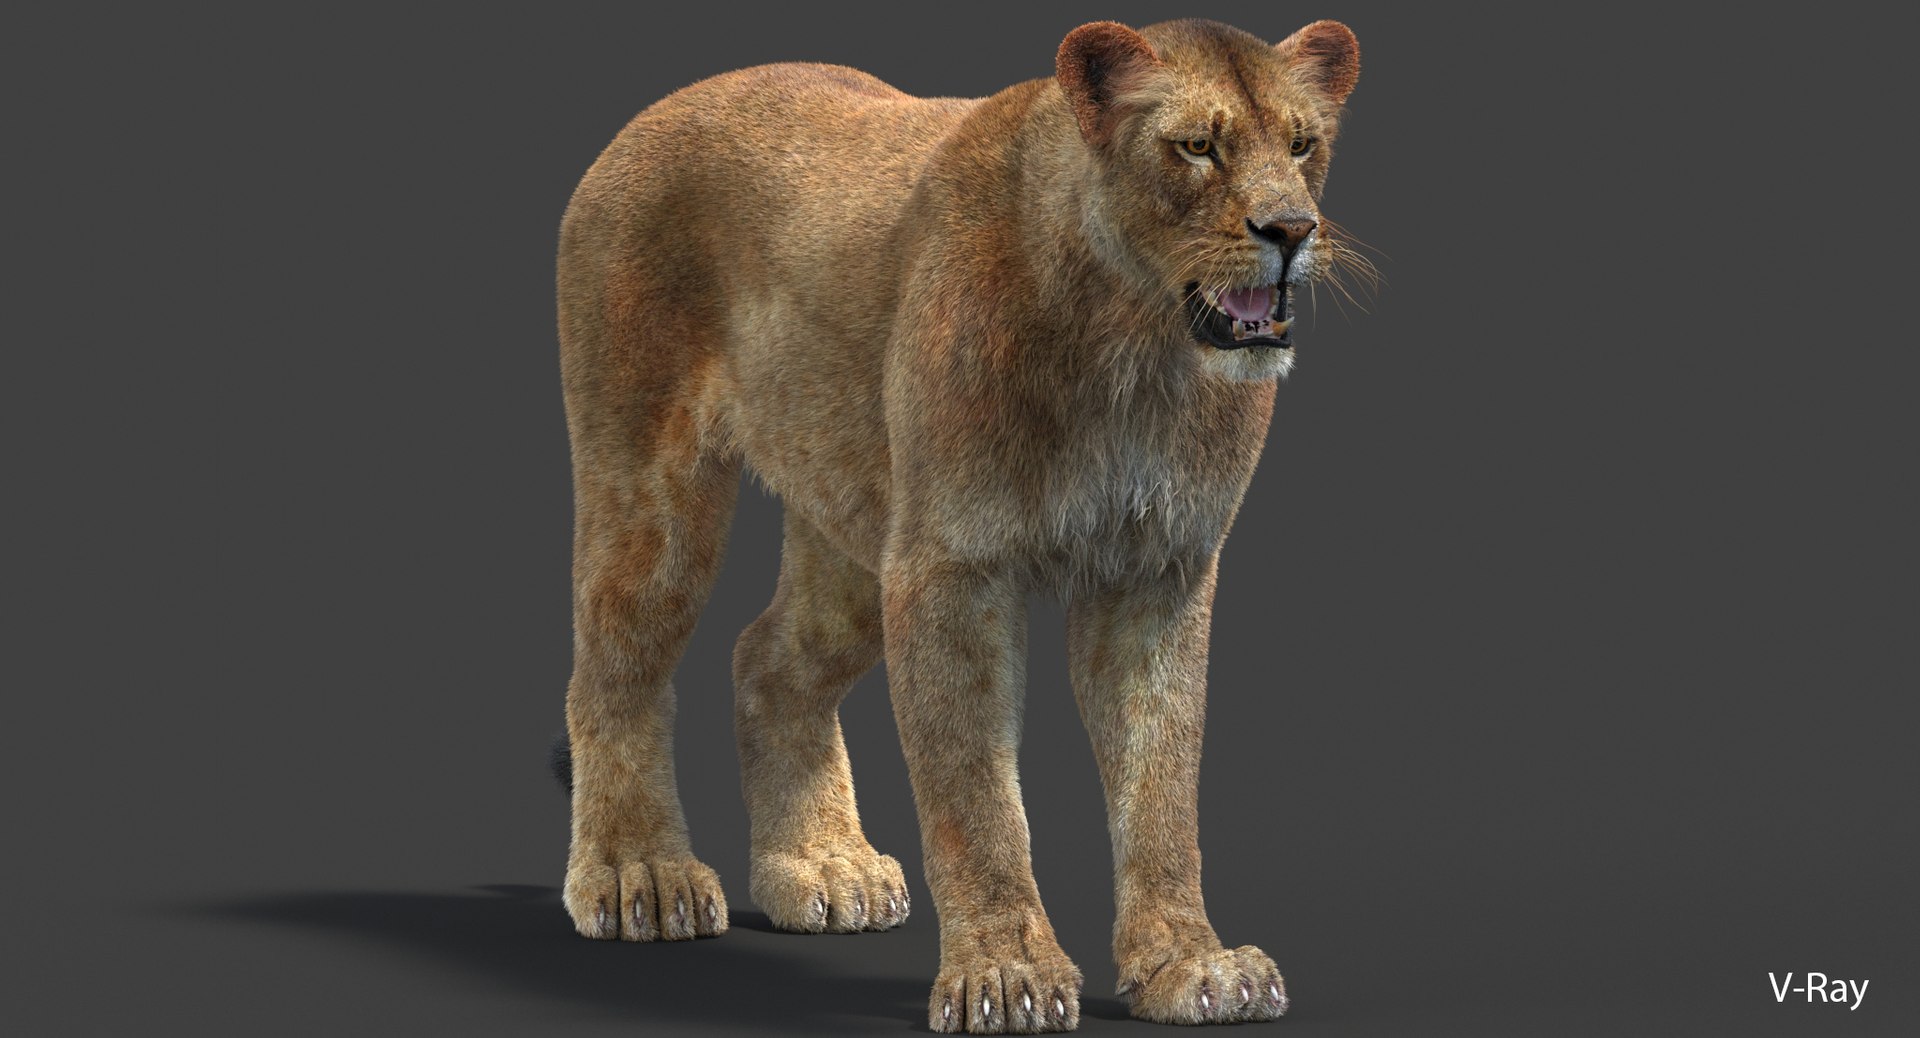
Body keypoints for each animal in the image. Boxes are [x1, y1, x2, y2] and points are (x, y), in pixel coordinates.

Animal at [552, 17, 1363, 1033]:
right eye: (1195, 146)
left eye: (1303, 144)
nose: (1291, 229)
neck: (1135, 347)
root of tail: (649, 117)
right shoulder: (952, 566)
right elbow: (974, 793)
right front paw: (1007, 974)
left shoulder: (1157, 573)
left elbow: (1162, 782)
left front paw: (1189, 964)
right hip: (657, 487)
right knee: (613, 665)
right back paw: (639, 875)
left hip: (859, 519)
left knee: (766, 656)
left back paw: (823, 867)